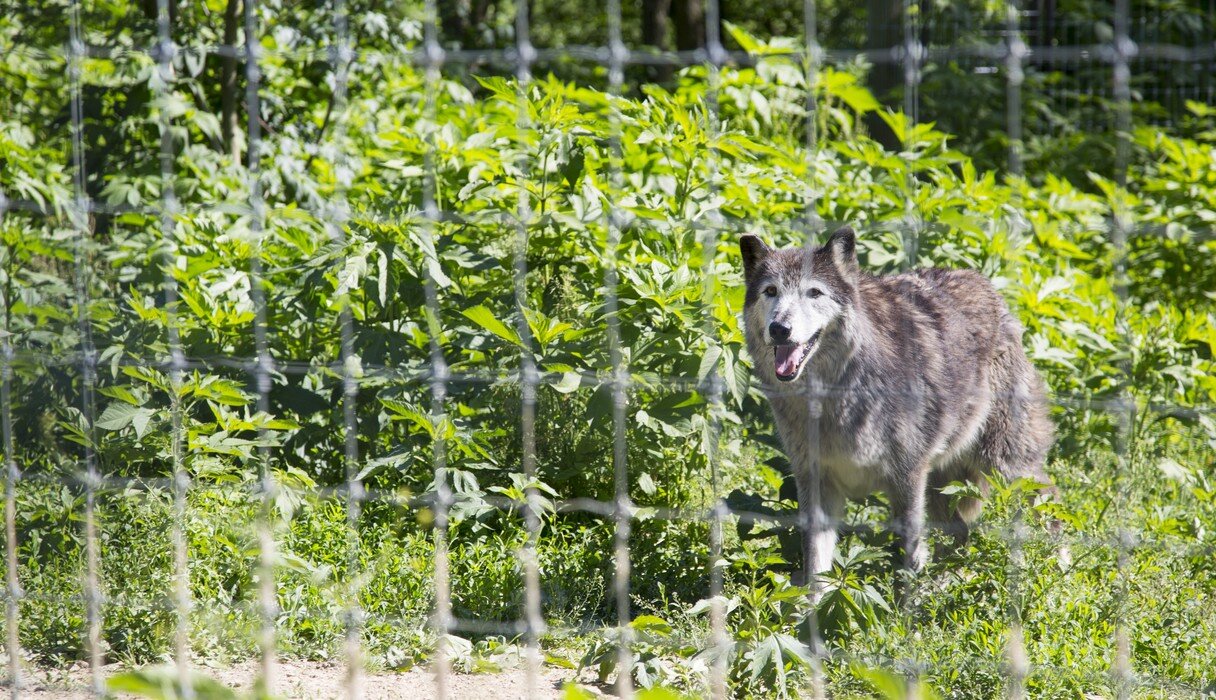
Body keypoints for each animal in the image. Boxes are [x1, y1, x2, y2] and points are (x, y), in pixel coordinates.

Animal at [739, 226, 1054, 581]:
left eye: (814, 293)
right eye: (770, 291)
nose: (780, 329)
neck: (834, 396)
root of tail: (984, 283)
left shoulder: (907, 478)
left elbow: (910, 555)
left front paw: (907, 596)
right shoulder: (816, 480)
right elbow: (816, 566)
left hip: (1005, 466)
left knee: (1051, 506)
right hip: (942, 485)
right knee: (960, 533)